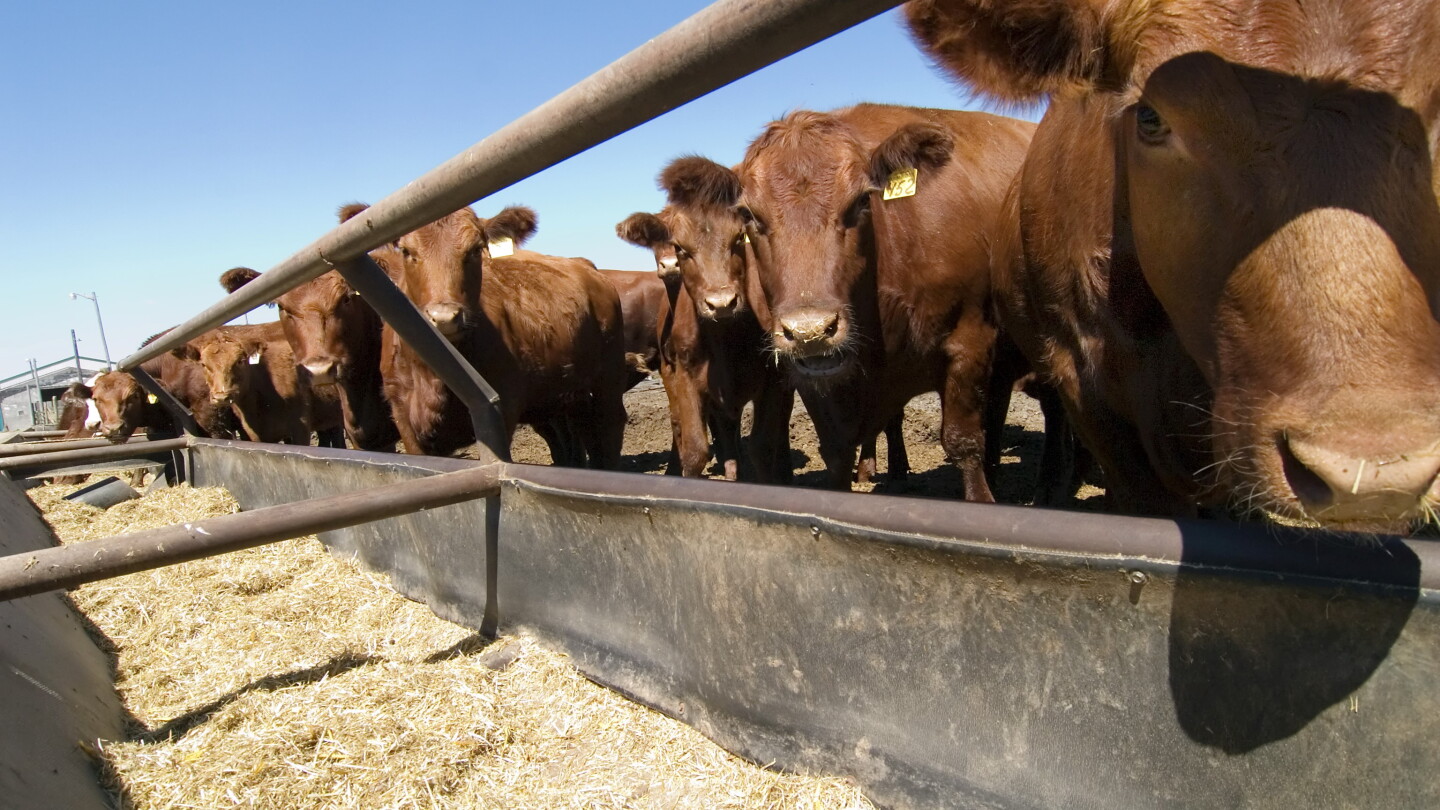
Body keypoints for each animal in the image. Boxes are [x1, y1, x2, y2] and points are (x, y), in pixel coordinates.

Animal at [373, 203, 629, 466]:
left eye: (476, 250)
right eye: (406, 251)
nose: (444, 317)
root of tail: (584, 264)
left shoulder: (502, 409)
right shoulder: (404, 417)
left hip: (608, 375)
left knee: (610, 427)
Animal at [617, 156, 795, 483]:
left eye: (738, 239)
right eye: (681, 248)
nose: (721, 303)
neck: (724, 340)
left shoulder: (774, 380)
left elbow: (764, 448)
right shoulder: (684, 378)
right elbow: (695, 451)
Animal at [718, 104, 1033, 499]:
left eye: (860, 201)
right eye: (749, 215)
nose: (810, 331)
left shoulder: (970, 342)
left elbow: (963, 441)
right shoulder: (807, 372)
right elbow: (836, 450)